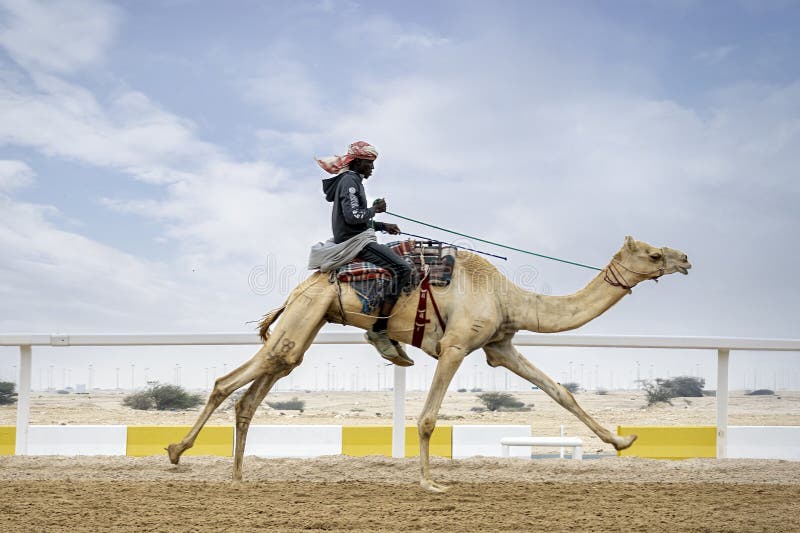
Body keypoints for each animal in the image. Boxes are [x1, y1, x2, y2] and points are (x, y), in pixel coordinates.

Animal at [168, 236, 691, 492]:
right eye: (653, 254)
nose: (685, 258)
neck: (509, 298)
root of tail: (305, 283)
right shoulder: (457, 345)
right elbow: (427, 418)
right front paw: (428, 482)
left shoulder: (500, 347)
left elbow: (559, 390)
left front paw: (623, 441)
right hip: (307, 313)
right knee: (227, 380)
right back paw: (176, 452)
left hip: (306, 324)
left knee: (265, 378)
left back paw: (238, 476)